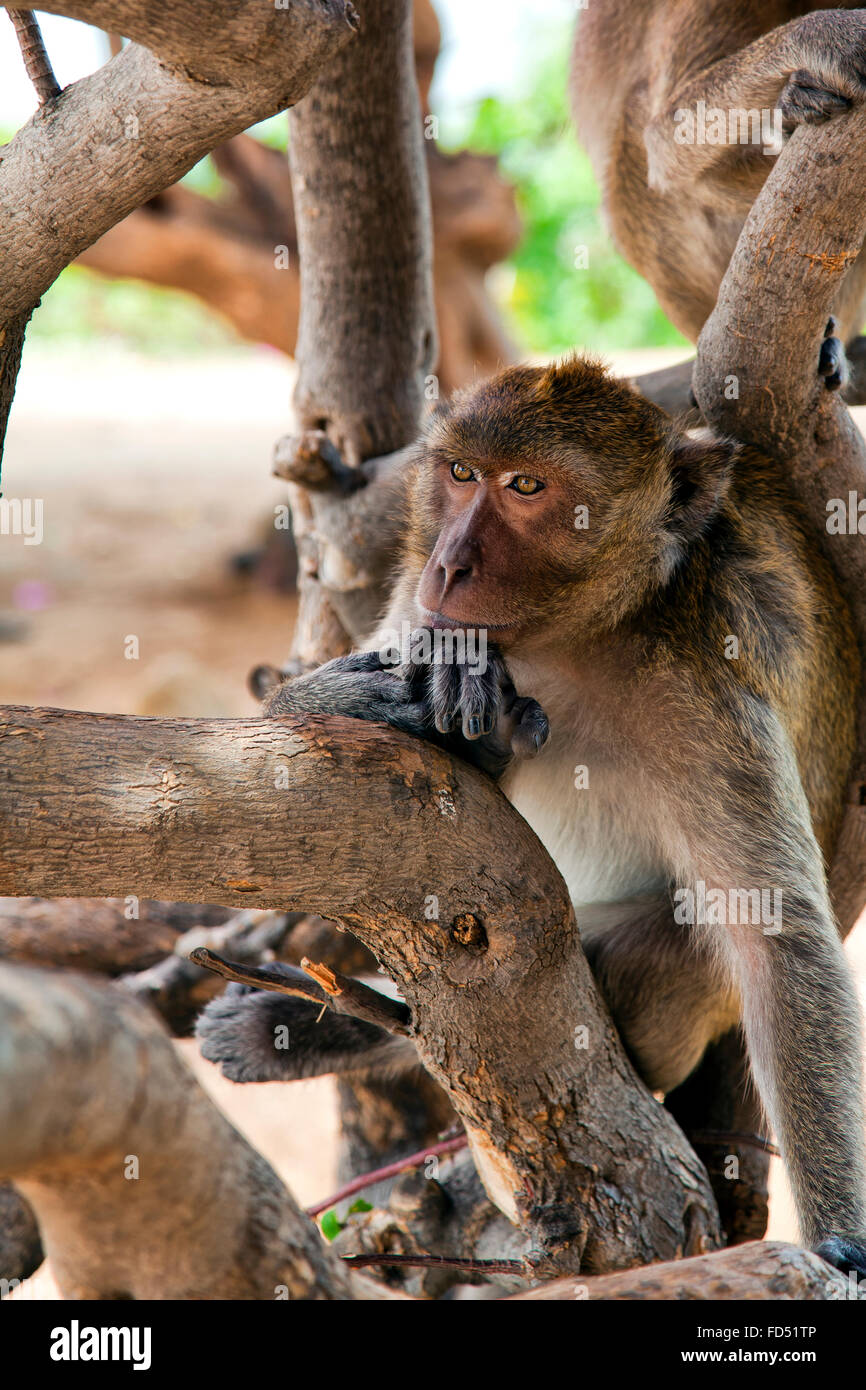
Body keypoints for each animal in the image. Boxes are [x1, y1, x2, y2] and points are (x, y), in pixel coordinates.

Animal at [197, 355, 866, 1277]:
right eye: (460, 473)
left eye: (525, 486)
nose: (451, 564)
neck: (578, 637)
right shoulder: (418, 607)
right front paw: (372, 699)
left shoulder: (706, 684)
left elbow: (775, 933)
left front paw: (840, 1238)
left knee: (674, 941)